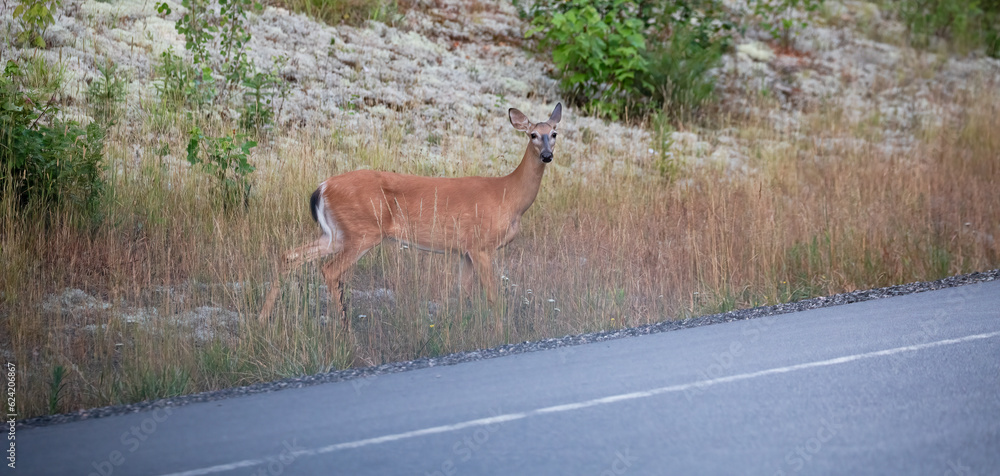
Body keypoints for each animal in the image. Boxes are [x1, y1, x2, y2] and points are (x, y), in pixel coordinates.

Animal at [258, 103, 562, 327]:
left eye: (555, 133)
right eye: (533, 134)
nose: (547, 155)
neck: (508, 196)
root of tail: (322, 187)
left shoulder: (464, 250)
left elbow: (463, 294)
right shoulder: (481, 245)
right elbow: (491, 296)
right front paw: (499, 332)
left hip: (335, 233)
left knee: (290, 255)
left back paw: (263, 318)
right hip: (363, 232)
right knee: (329, 270)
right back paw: (345, 328)